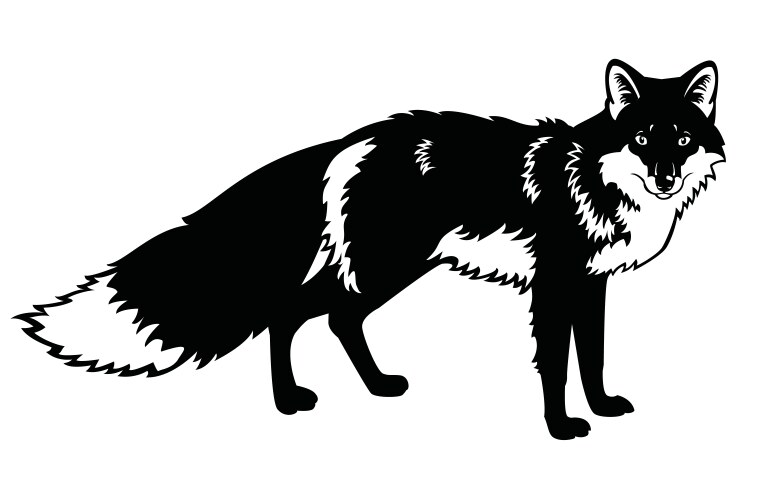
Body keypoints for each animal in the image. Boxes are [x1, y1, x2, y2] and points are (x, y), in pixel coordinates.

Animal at [16, 60, 725, 439]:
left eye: (683, 139)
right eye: (642, 138)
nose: (665, 176)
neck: (596, 176)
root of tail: (350, 141)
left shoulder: (591, 286)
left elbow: (593, 357)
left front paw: (601, 408)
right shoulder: (554, 289)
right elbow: (555, 365)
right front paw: (561, 427)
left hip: (388, 271)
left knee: (332, 319)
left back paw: (376, 387)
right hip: (390, 266)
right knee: (292, 316)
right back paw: (289, 400)